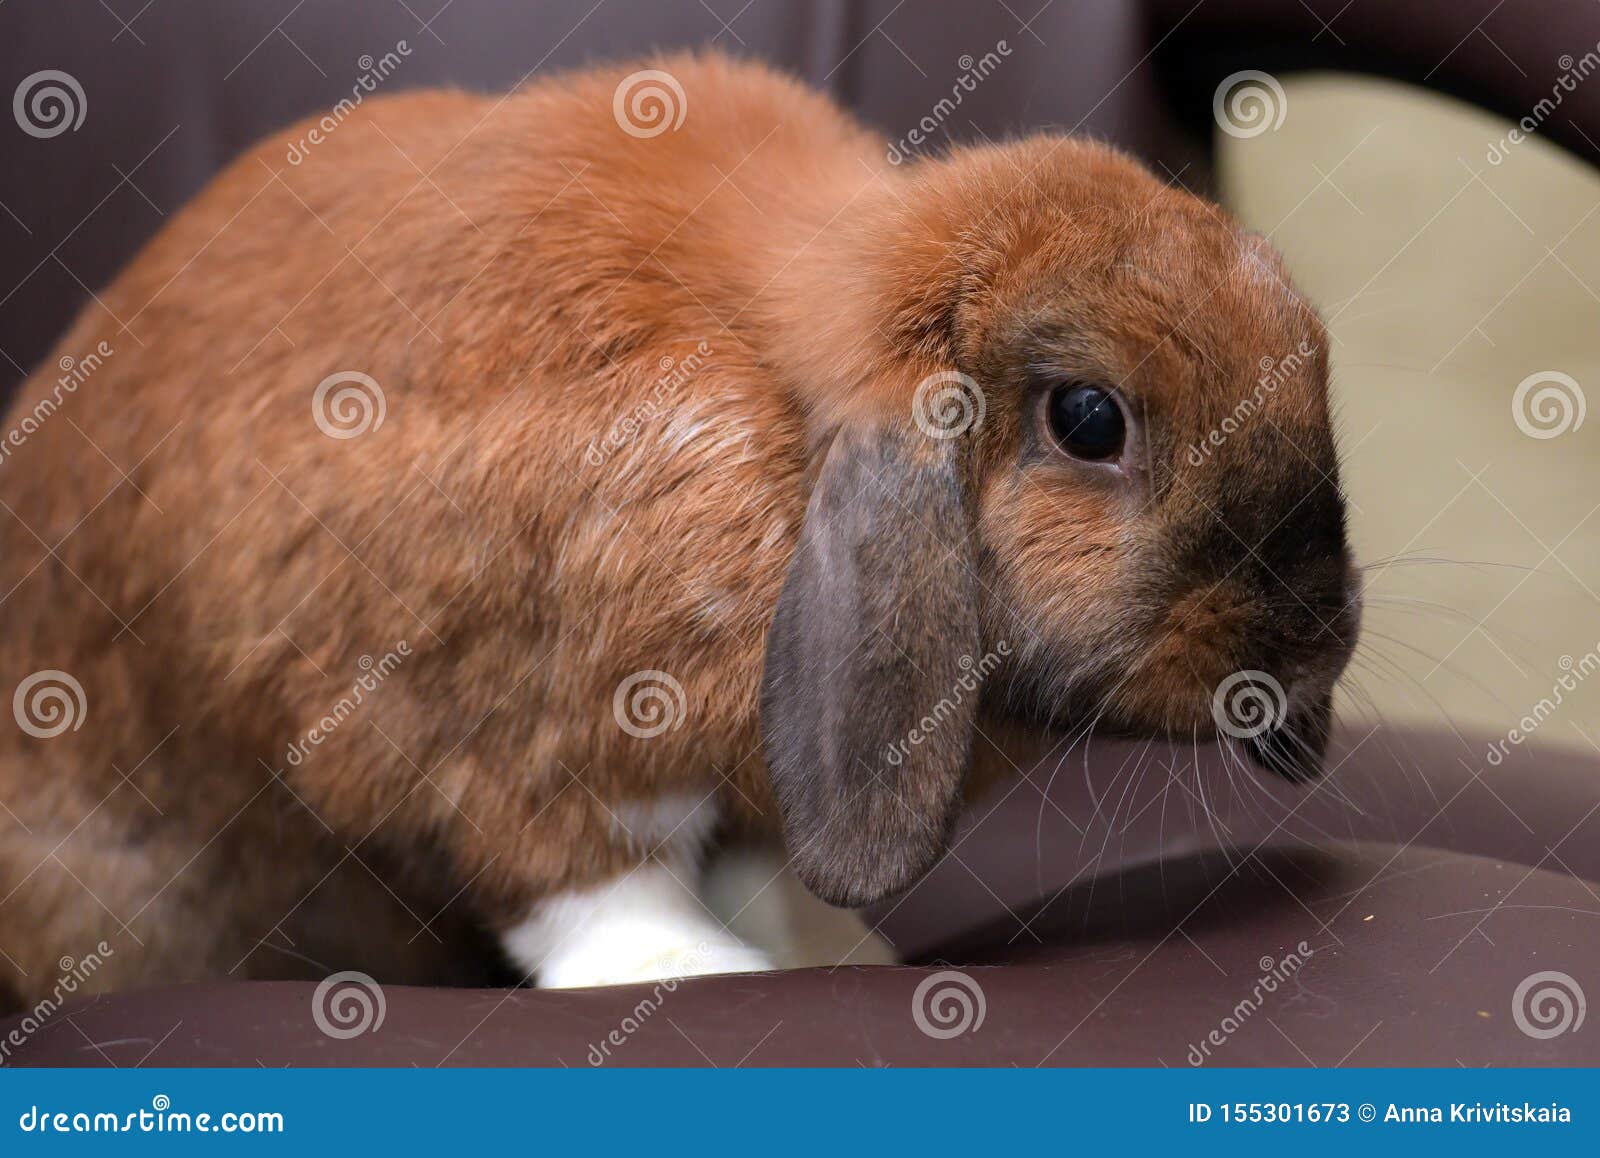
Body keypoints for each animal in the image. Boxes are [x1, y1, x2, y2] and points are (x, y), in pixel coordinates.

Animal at [0, 51, 1359, 1004]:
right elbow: (579, 870)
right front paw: (692, 972)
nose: (1308, 646)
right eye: (1087, 418)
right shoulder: (496, 721)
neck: (773, 404)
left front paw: (836, 952)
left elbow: (764, 858)